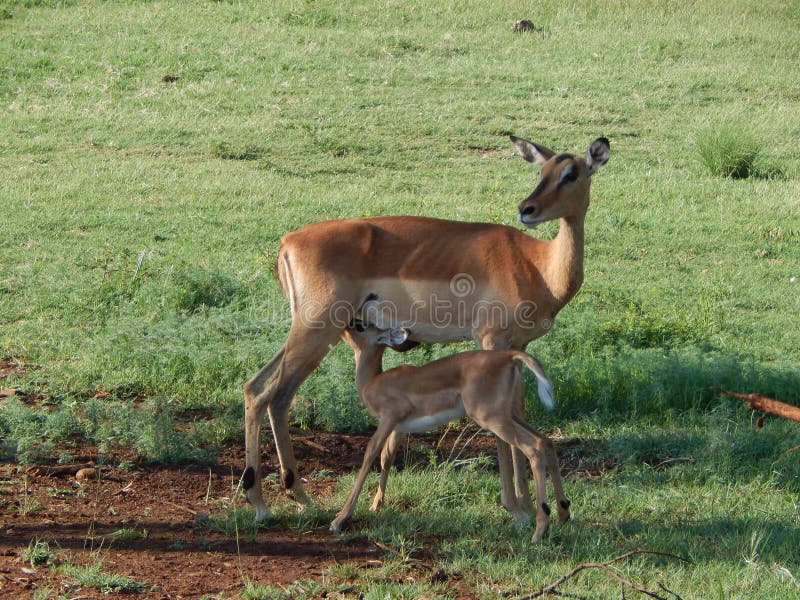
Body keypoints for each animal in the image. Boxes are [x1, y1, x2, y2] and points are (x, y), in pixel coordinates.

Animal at [331, 323, 570, 542]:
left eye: (360, 327)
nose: (343, 325)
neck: (372, 382)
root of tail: (509, 357)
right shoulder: (398, 428)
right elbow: (386, 457)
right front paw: (376, 506)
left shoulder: (389, 418)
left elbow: (370, 454)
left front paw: (340, 519)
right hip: (510, 415)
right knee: (546, 441)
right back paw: (563, 514)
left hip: (494, 419)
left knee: (534, 447)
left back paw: (540, 529)